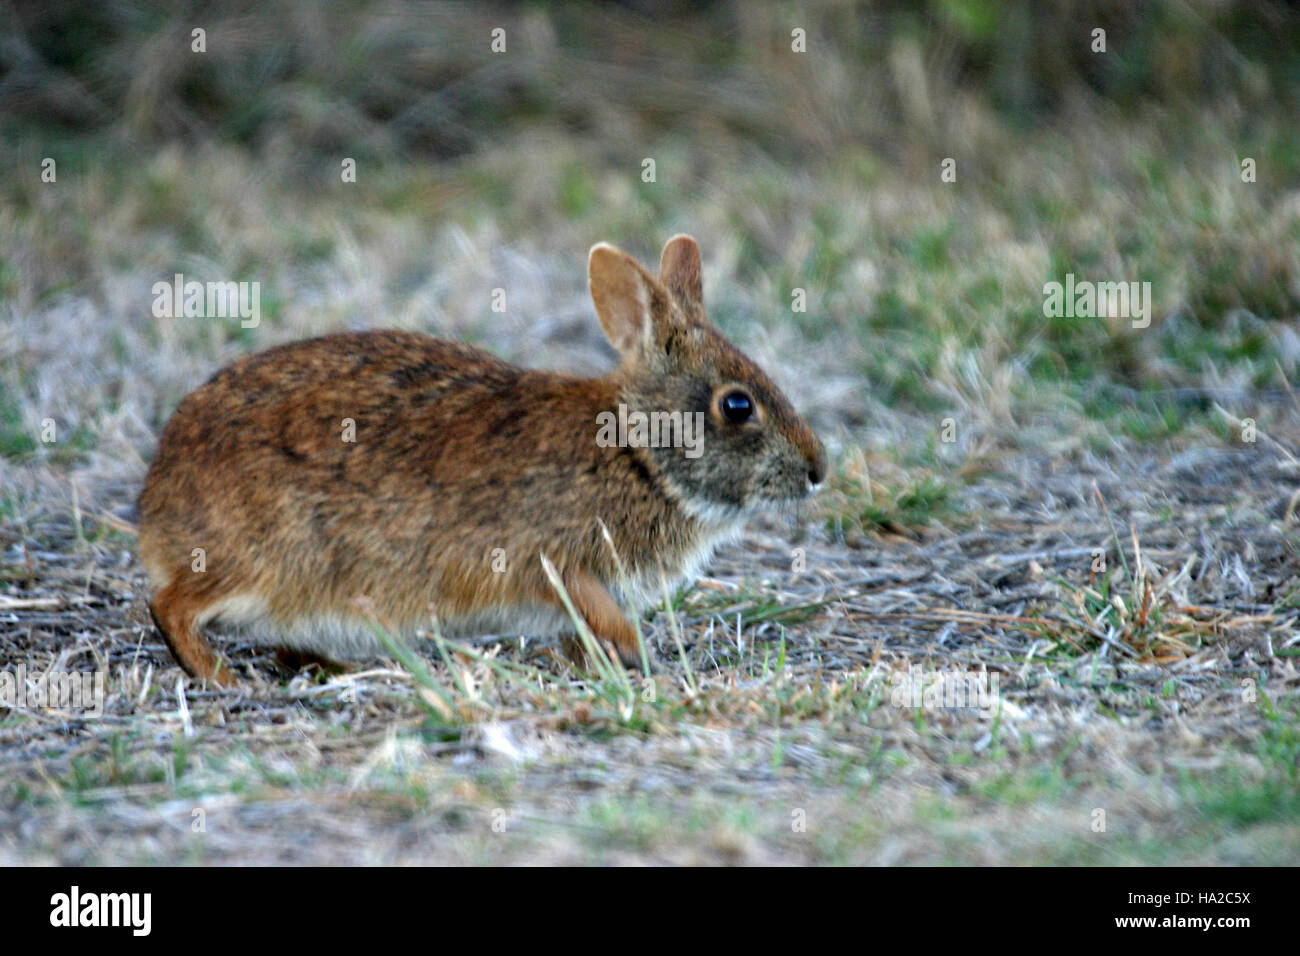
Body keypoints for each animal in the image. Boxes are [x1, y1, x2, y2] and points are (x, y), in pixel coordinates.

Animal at [137, 235, 827, 686]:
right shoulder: (559, 558)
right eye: (737, 406)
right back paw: (220, 677)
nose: (818, 470)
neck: (637, 452)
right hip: (269, 559)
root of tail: (156, 509)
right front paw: (642, 656)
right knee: (171, 604)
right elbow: (597, 610)